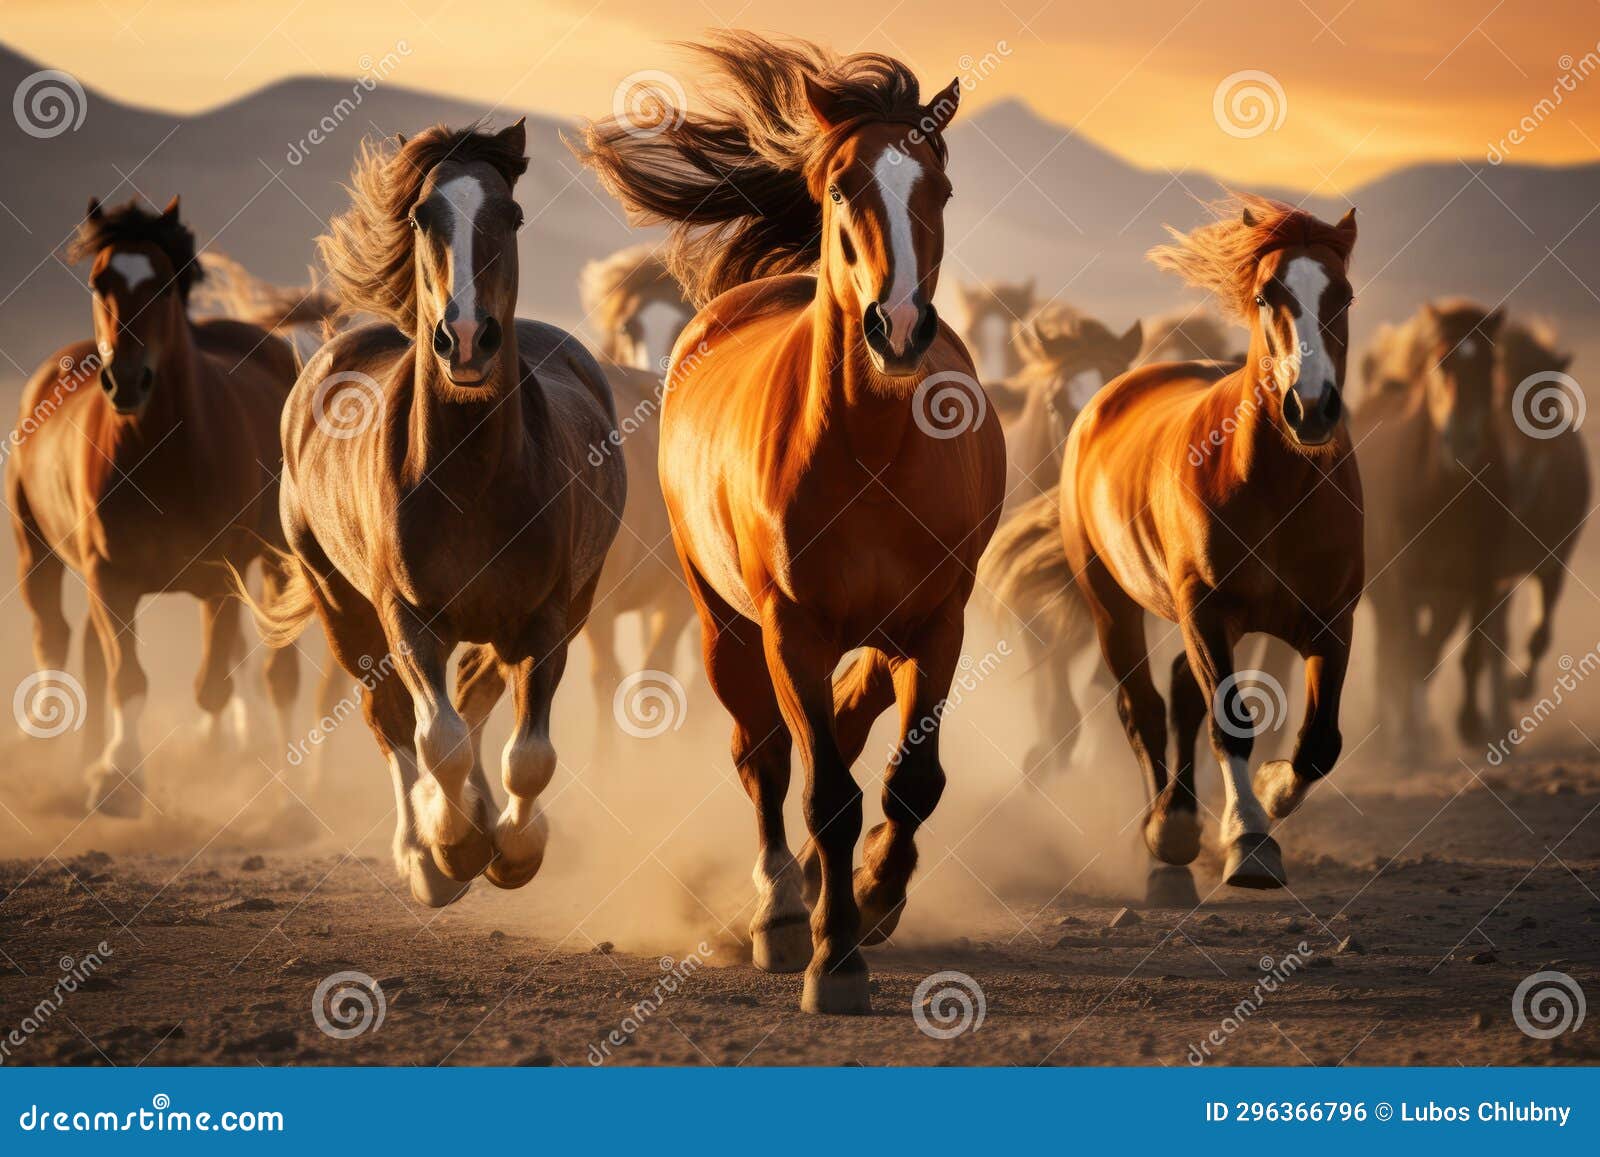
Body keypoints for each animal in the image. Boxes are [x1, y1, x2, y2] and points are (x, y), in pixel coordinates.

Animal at [6, 197, 311, 817]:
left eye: (164, 285)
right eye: (99, 282)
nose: (125, 380)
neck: (162, 453)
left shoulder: (221, 576)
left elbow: (213, 681)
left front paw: (214, 755)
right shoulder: (109, 576)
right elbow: (127, 676)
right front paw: (117, 778)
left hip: (275, 563)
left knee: (275, 672)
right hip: (35, 549)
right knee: (57, 635)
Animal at [238, 121, 626, 907]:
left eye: (511, 215)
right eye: (423, 216)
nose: (467, 338)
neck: (470, 478)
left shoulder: (546, 619)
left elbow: (527, 754)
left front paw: (512, 848)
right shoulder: (408, 616)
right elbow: (434, 739)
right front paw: (450, 849)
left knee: (475, 700)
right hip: (339, 600)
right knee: (390, 716)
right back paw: (421, 849)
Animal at [579, 32, 1005, 1013]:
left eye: (940, 187)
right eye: (842, 186)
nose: (899, 325)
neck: (874, 448)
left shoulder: (940, 622)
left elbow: (912, 781)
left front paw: (876, 896)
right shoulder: (793, 628)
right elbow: (826, 793)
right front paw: (832, 954)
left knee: (852, 722)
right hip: (723, 624)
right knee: (764, 754)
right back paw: (779, 908)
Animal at [1059, 194, 1361, 904]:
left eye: (1344, 295)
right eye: (1266, 295)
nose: (1311, 408)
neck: (1279, 488)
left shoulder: (1333, 618)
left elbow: (1319, 741)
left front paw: (1273, 793)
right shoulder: (1205, 608)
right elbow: (1232, 722)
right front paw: (1249, 841)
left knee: (1179, 689)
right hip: (1112, 603)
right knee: (1142, 704)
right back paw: (1166, 830)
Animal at [1355, 301, 1512, 753]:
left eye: (1491, 363)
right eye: (1442, 362)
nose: (1460, 440)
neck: (1447, 491)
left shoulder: (1477, 578)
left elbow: (1465, 650)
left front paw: (1470, 725)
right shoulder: (1404, 577)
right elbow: (1408, 650)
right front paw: (1409, 737)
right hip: (1381, 587)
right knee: (1389, 647)